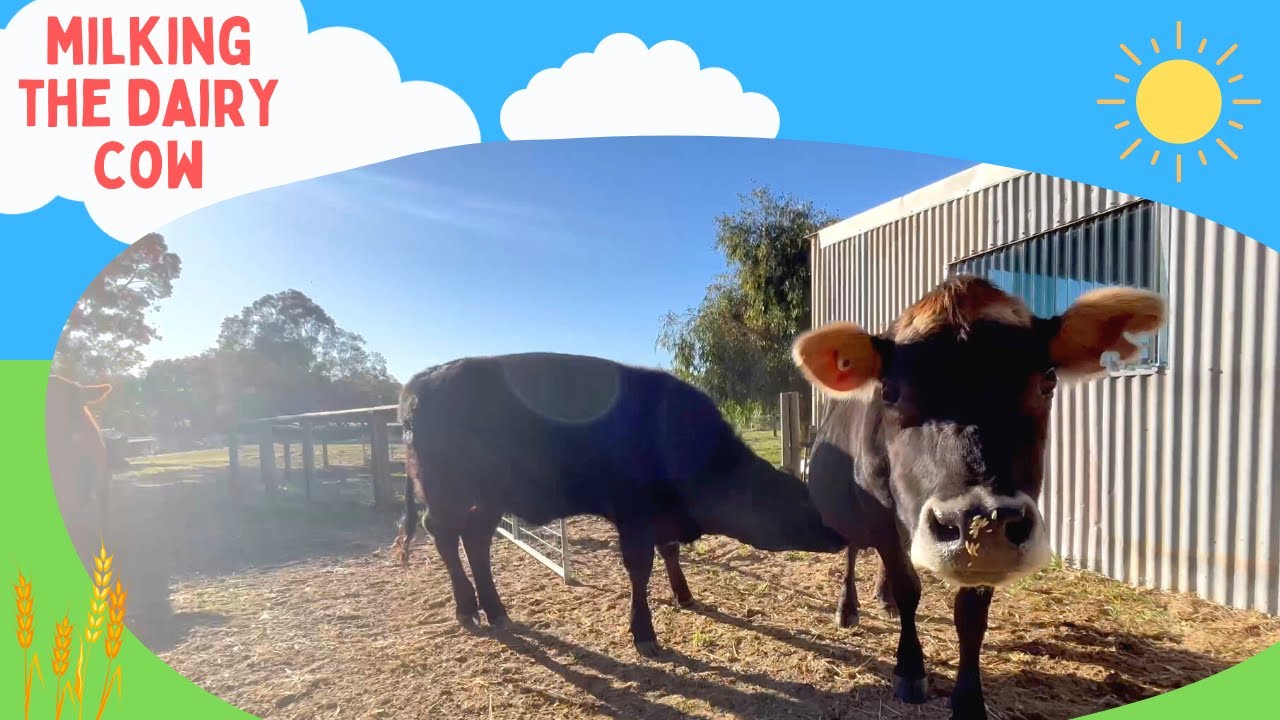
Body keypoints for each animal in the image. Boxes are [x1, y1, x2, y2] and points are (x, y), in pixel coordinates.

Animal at [392, 352, 847, 655]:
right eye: (806, 502)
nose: (842, 532)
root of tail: (419, 383)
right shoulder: (634, 517)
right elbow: (640, 570)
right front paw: (644, 633)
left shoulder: (661, 517)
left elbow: (670, 552)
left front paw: (685, 595)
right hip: (449, 493)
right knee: (444, 535)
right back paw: (467, 609)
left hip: (489, 499)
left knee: (476, 540)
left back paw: (496, 610)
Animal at [793, 276, 1166, 720]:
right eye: (890, 391)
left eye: (1047, 382)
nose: (979, 522)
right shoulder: (878, 512)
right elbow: (908, 588)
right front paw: (909, 669)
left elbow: (970, 615)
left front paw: (969, 699)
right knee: (853, 550)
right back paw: (848, 608)